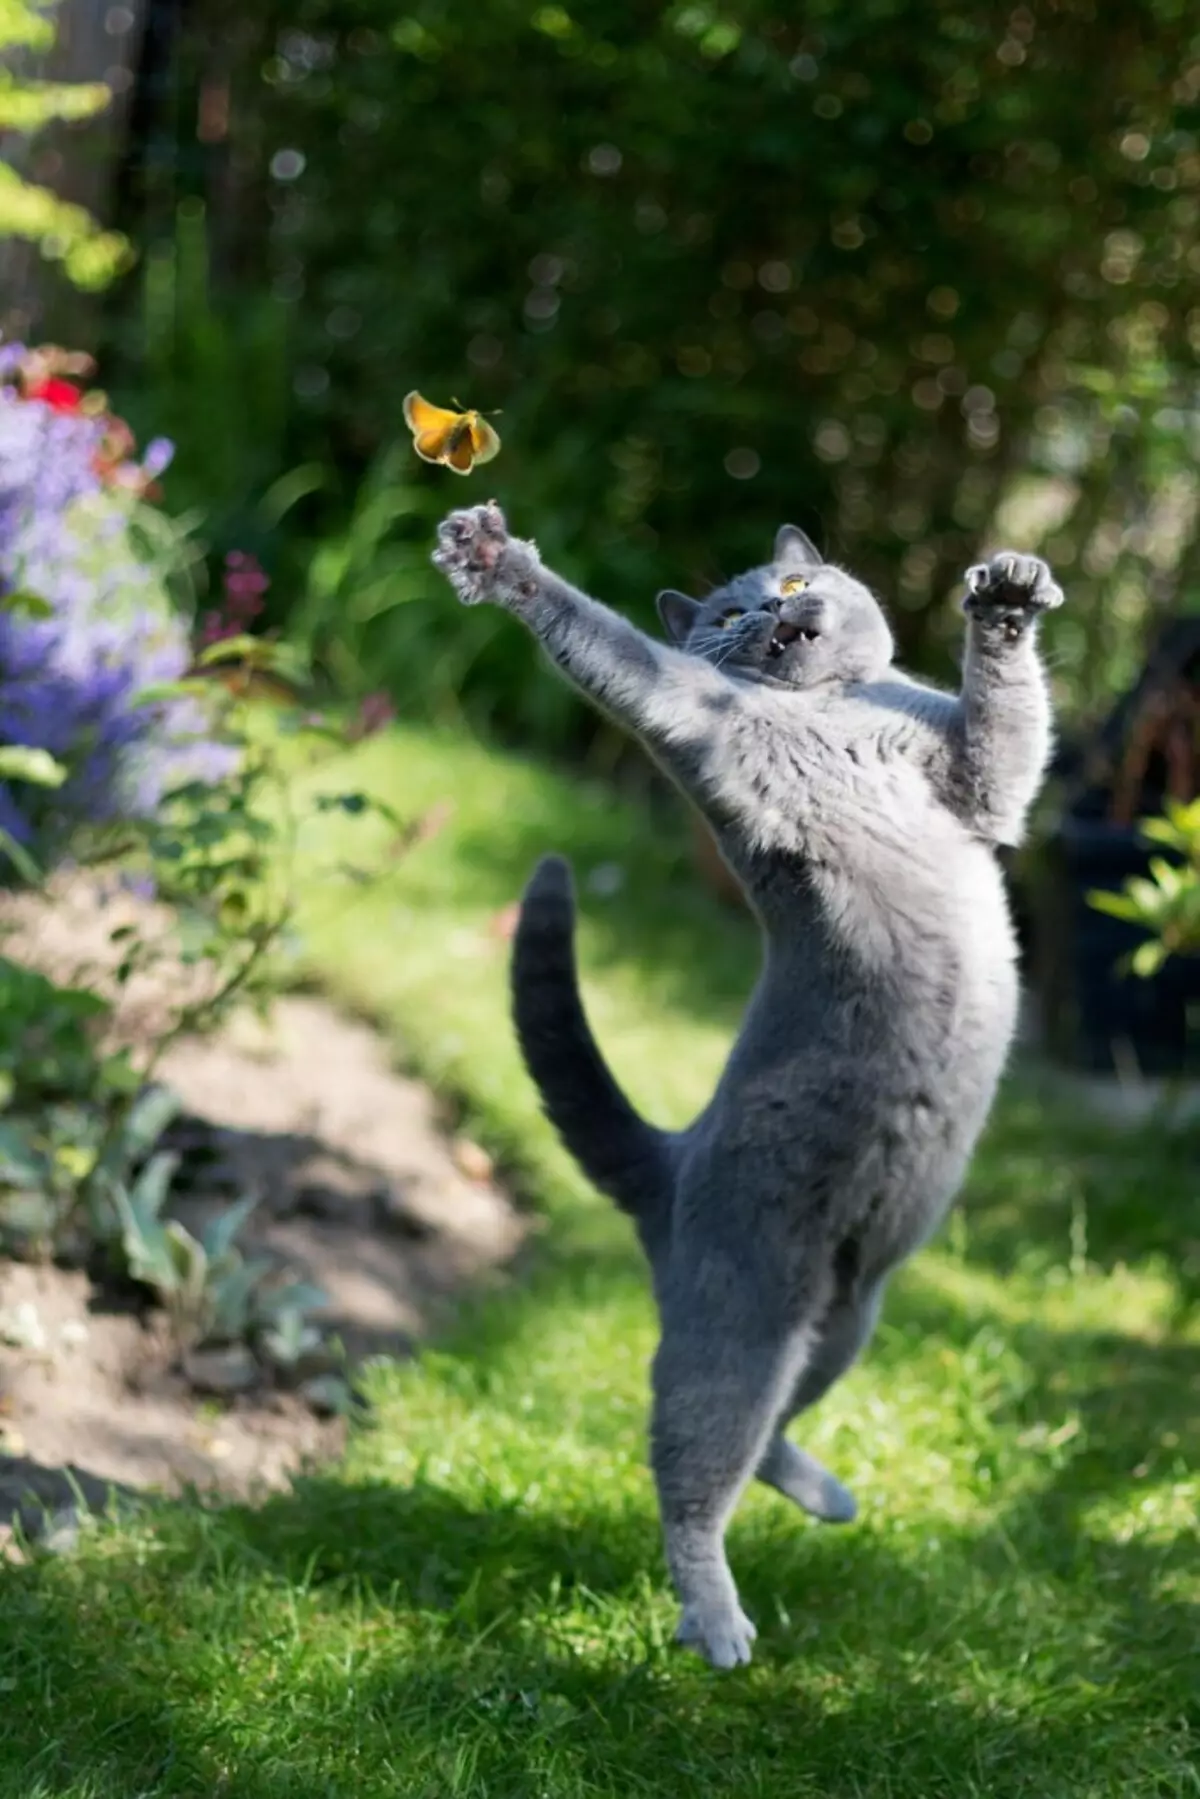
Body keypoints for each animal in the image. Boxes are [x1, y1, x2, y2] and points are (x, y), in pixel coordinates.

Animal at [431, 496, 1057, 1669]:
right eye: (729, 614)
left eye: (791, 586)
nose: (777, 610)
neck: (833, 713)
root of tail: (669, 1161)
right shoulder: (694, 715)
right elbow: (613, 646)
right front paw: (497, 561)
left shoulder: (971, 781)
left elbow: (1006, 725)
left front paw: (1005, 593)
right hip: (745, 1316)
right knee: (693, 1464)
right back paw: (716, 1623)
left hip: (847, 1313)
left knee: (766, 1435)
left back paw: (827, 1496)